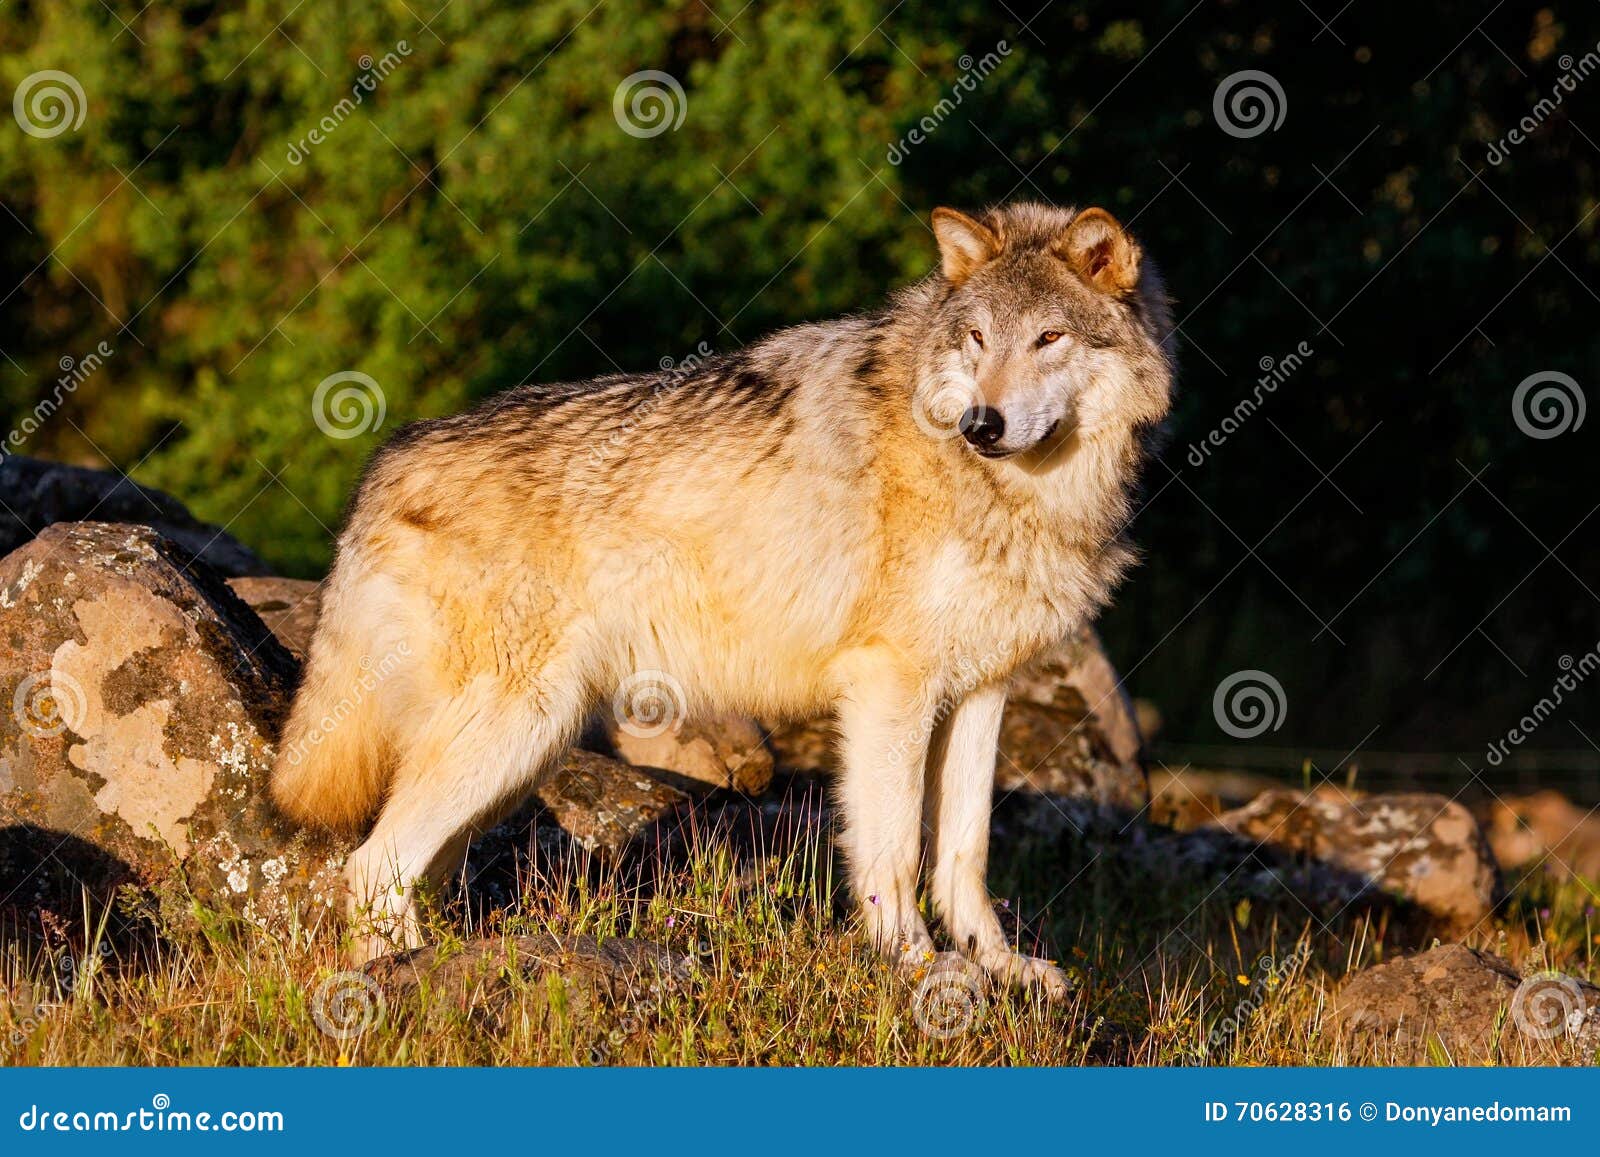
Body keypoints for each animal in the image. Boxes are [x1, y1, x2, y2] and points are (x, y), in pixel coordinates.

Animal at [271, 201, 1175, 989]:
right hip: (513, 727)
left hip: (521, 751)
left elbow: (964, 853)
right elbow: (890, 850)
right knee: (372, 863)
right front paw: (920, 969)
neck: (1017, 492)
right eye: (978, 338)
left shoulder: (982, 690)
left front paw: (1002, 967)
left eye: (1049, 337)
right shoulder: (892, 687)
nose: (981, 425)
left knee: (408, 866)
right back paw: (395, 980)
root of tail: (388, 460)